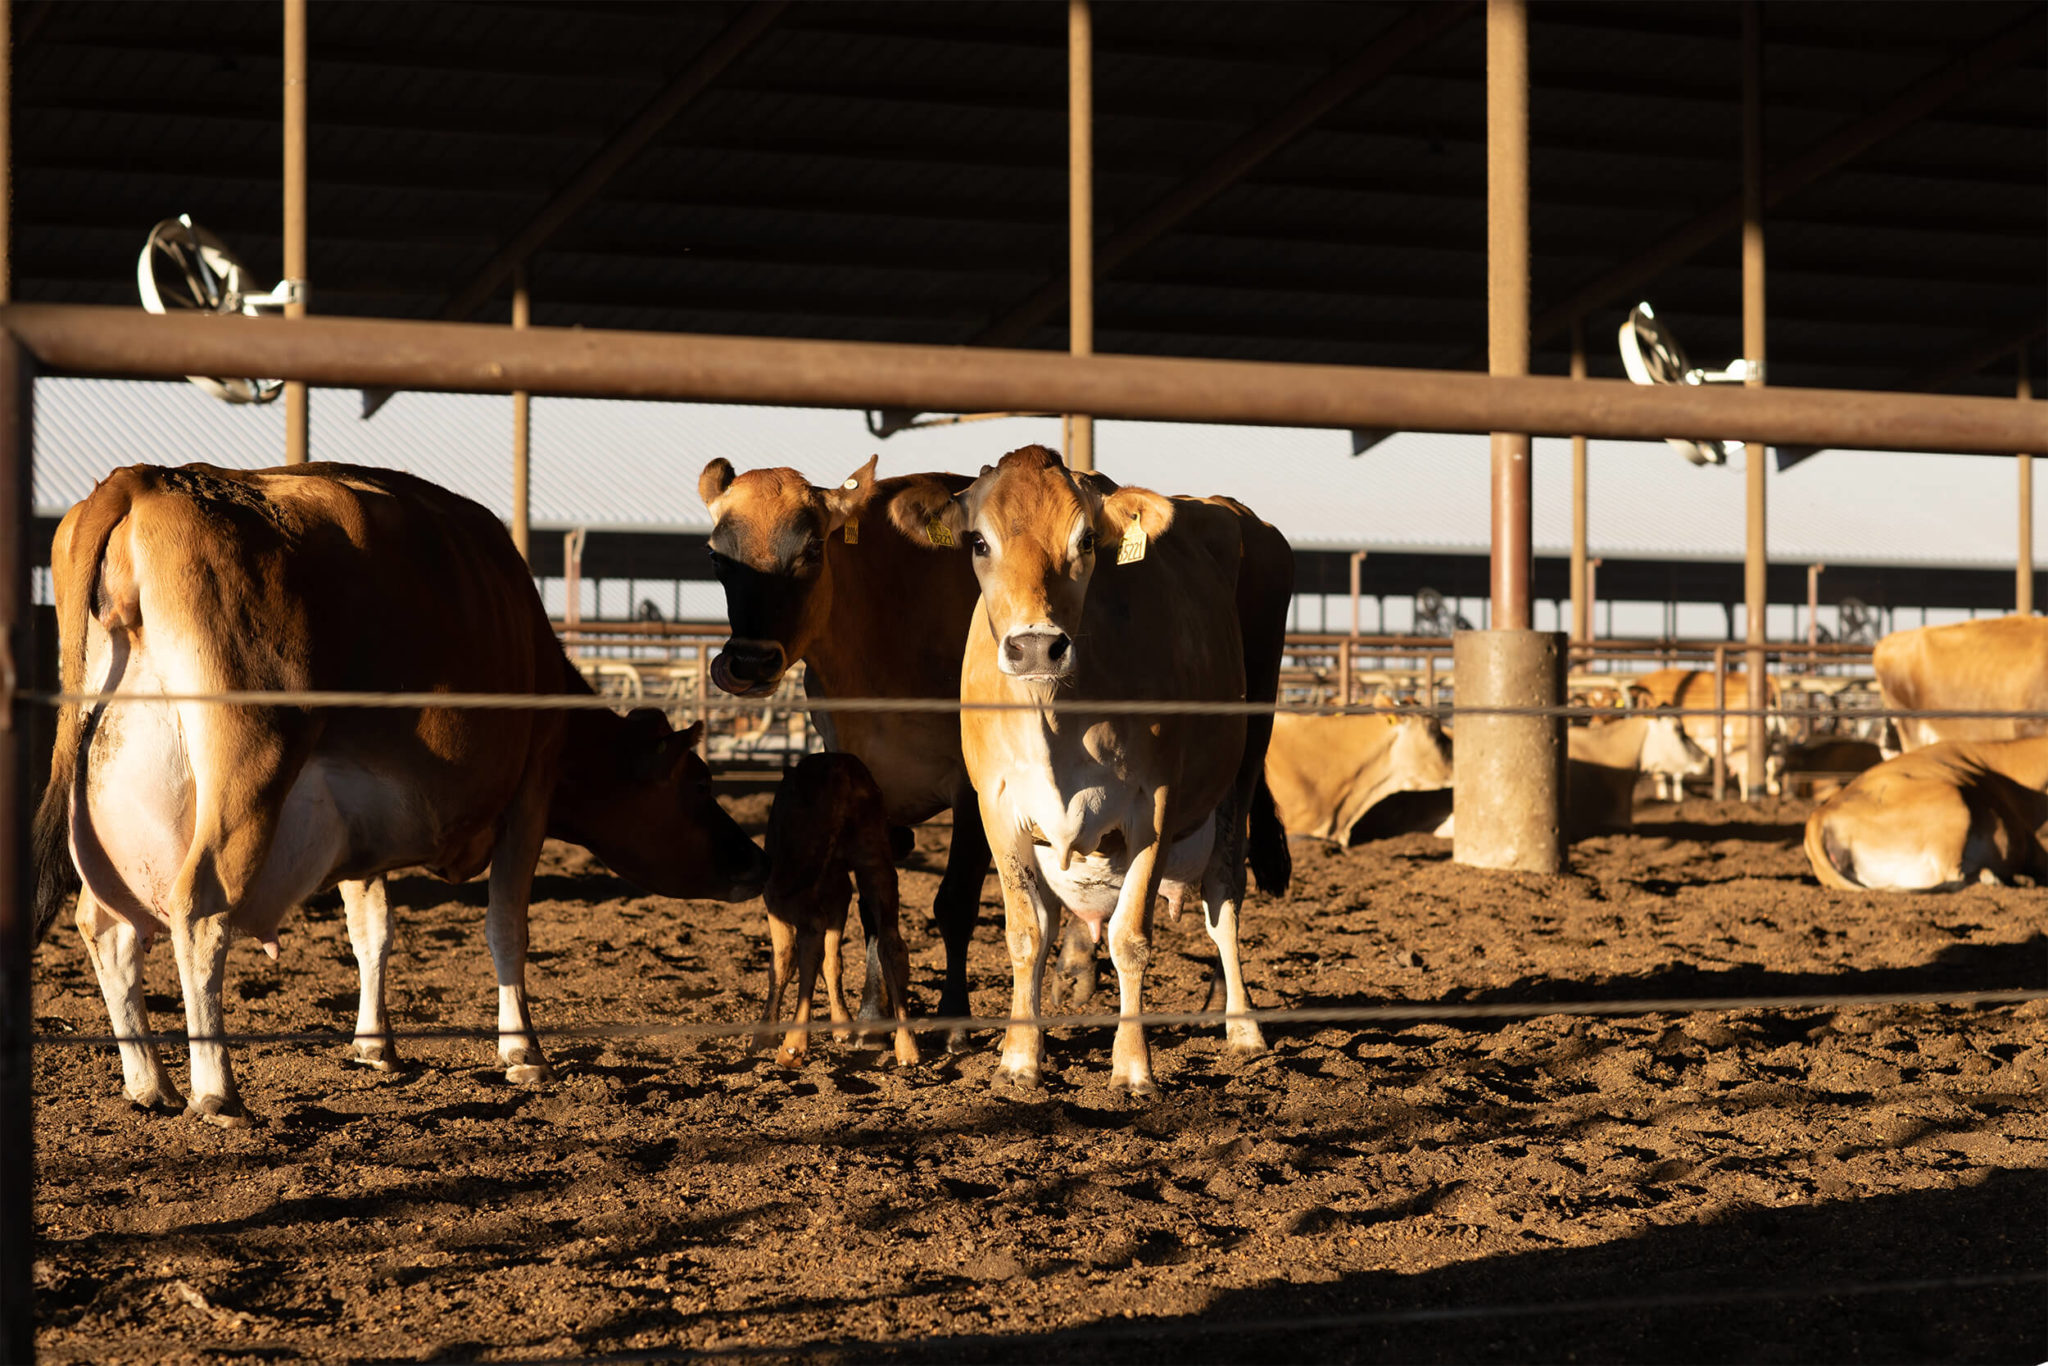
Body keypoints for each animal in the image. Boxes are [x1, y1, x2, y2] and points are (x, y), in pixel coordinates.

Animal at [33, 463, 768, 1125]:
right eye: (700, 783)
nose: (755, 861)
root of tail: (147, 478)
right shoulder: (528, 793)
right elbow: (507, 925)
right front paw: (523, 1053)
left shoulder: (358, 820)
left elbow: (373, 933)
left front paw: (373, 1046)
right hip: (252, 767)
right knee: (201, 908)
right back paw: (216, 1090)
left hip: (119, 787)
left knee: (108, 926)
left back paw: (148, 1082)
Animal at [757, 753, 918, 1068]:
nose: (908, 837)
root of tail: (842, 772)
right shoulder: (840, 898)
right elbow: (833, 960)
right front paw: (842, 1024)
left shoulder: (776, 898)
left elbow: (782, 959)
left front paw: (764, 1036)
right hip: (875, 864)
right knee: (891, 945)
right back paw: (907, 1048)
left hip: (790, 882)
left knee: (809, 938)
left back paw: (792, 1046)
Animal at [893, 446, 1290, 1095]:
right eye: (978, 541)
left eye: (1085, 541)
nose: (1035, 646)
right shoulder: (996, 806)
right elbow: (1026, 935)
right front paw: (1019, 1057)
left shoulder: (1154, 804)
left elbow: (1131, 938)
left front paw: (1132, 1066)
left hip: (1244, 763)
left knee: (1225, 900)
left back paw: (1242, 1027)